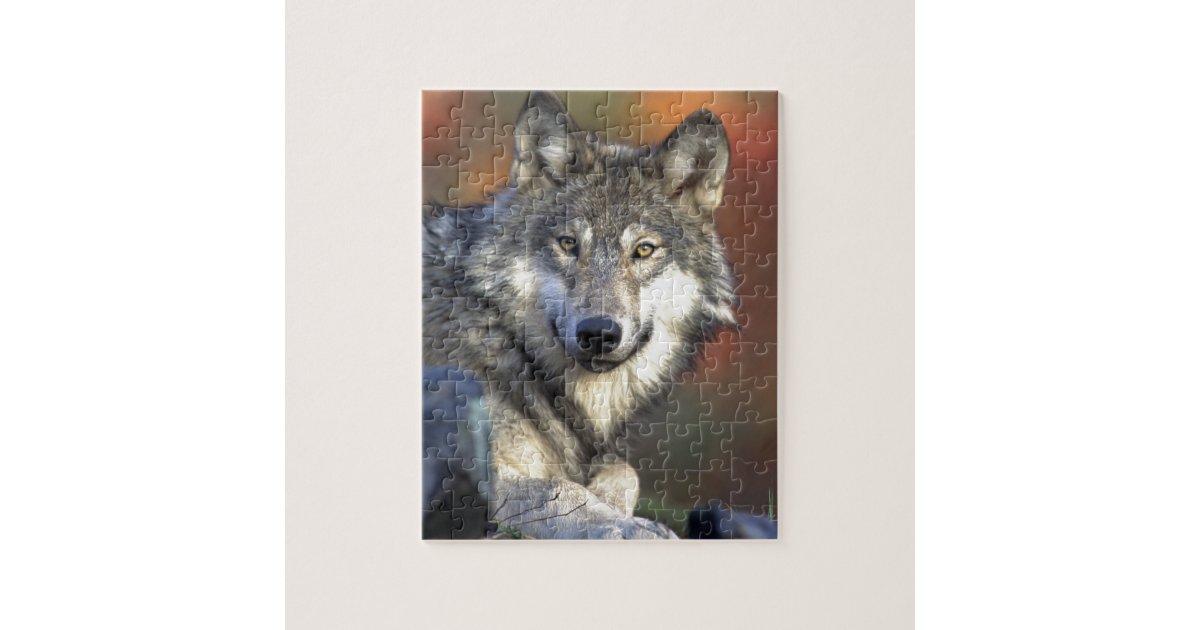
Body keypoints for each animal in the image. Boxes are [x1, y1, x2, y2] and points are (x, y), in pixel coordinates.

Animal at [423, 91, 737, 539]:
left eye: (644, 249)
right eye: (569, 244)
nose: (599, 333)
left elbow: (624, 472)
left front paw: (611, 499)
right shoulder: (486, 480)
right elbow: (561, 490)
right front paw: (632, 527)